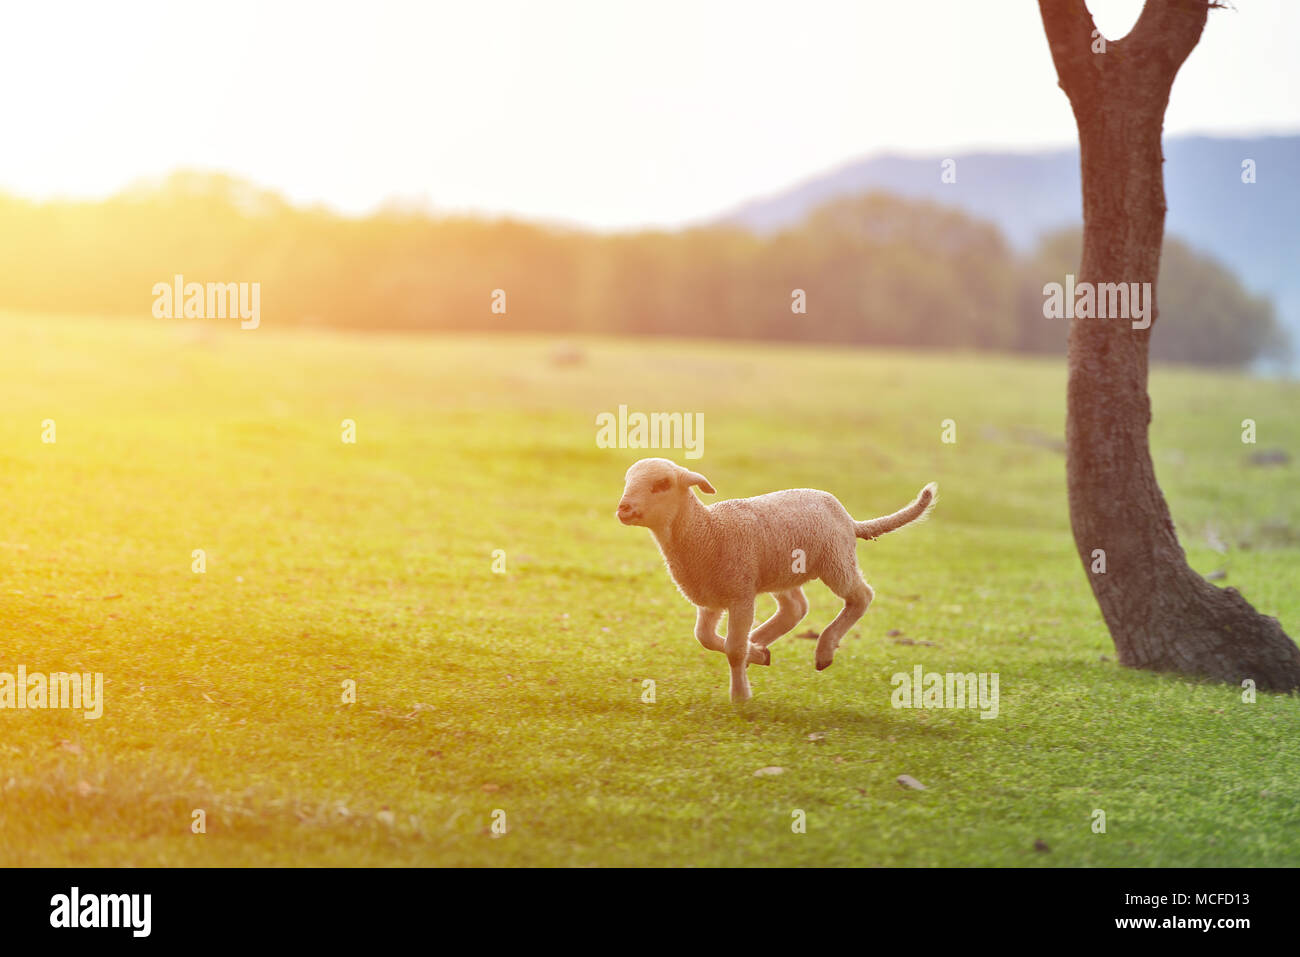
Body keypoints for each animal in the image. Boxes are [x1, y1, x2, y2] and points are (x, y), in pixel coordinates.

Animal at [616, 457, 936, 701]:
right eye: (627, 481)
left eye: (662, 484)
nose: (623, 508)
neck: (708, 531)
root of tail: (848, 519)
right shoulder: (711, 600)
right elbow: (705, 638)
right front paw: (755, 655)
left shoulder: (740, 594)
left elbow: (733, 649)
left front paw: (740, 696)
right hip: (783, 572)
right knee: (795, 608)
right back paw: (760, 645)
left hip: (836, 561)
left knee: (861, 596)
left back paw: (824, 651)